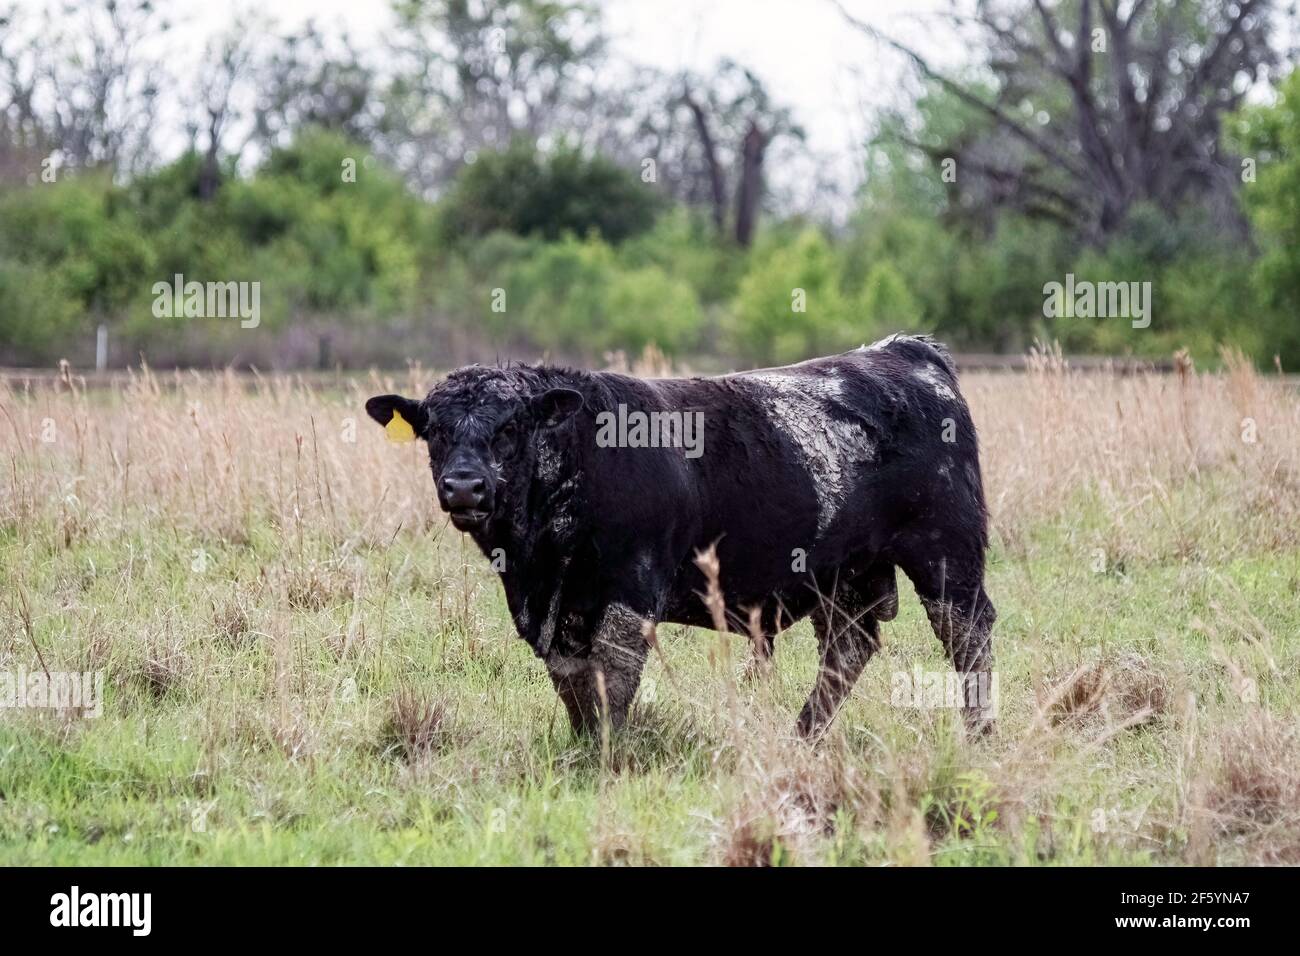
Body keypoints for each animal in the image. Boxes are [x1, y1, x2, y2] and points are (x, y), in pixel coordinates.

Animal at [366, 333, 996, 739]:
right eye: (434, 431)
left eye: (512, 426)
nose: (464, 487)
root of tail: (906, 351)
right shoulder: (558, 613)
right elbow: (574, 689)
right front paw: (580, 751)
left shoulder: (628, 591)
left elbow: (613, 683)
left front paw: (607, 760)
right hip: (846, 575)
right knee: (848, 647)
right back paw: (802, 738)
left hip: (947, 553)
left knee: (968, 635)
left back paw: (979, 736)